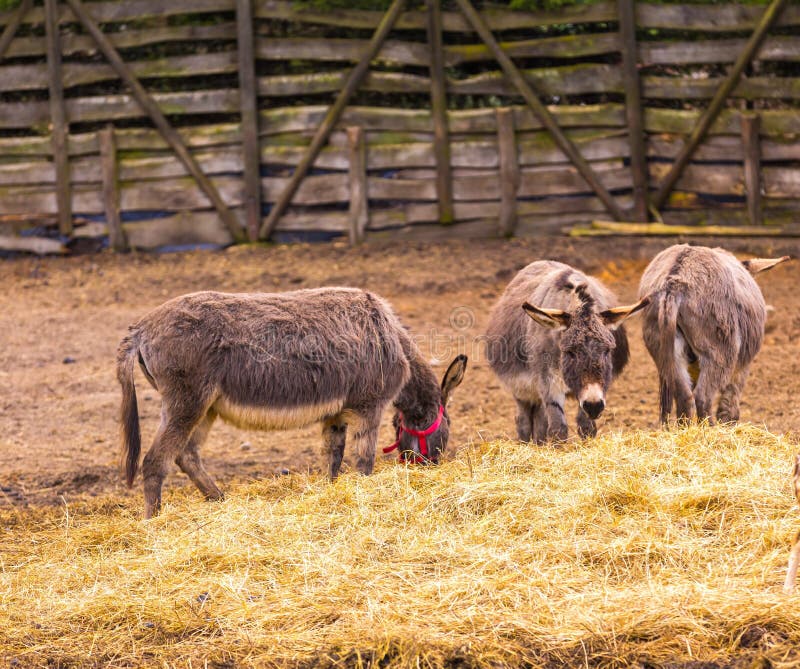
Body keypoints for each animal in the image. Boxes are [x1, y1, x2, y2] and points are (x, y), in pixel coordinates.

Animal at [117, 288, 467, 518]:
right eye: (447, 429)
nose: (430, 469)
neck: (390, 338)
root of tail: (142, 327)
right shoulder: (370, 407)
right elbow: (364, 460)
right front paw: (362, 494)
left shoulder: (335, 413)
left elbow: (332, 457)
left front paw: (330, 493)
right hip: (186, 403)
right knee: (156, 461)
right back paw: (154, 522)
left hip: (206, 408)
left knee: (186, 455)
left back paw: (219, 500)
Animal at [486, 260, 649, 443]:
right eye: (570, 352)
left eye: (607, 351)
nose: (594, 407)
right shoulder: (548, 382)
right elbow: (558, 430)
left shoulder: (594, 391)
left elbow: (586, 428)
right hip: (522, 390)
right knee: (524, 422)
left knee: (540, 422)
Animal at [638, 244, 789, 425]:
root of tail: (674, 283)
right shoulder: (741, 368)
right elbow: (729, 406)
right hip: (718, 353)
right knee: (703, 398)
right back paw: (710, 429)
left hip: (667, 353)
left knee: (684, 397)